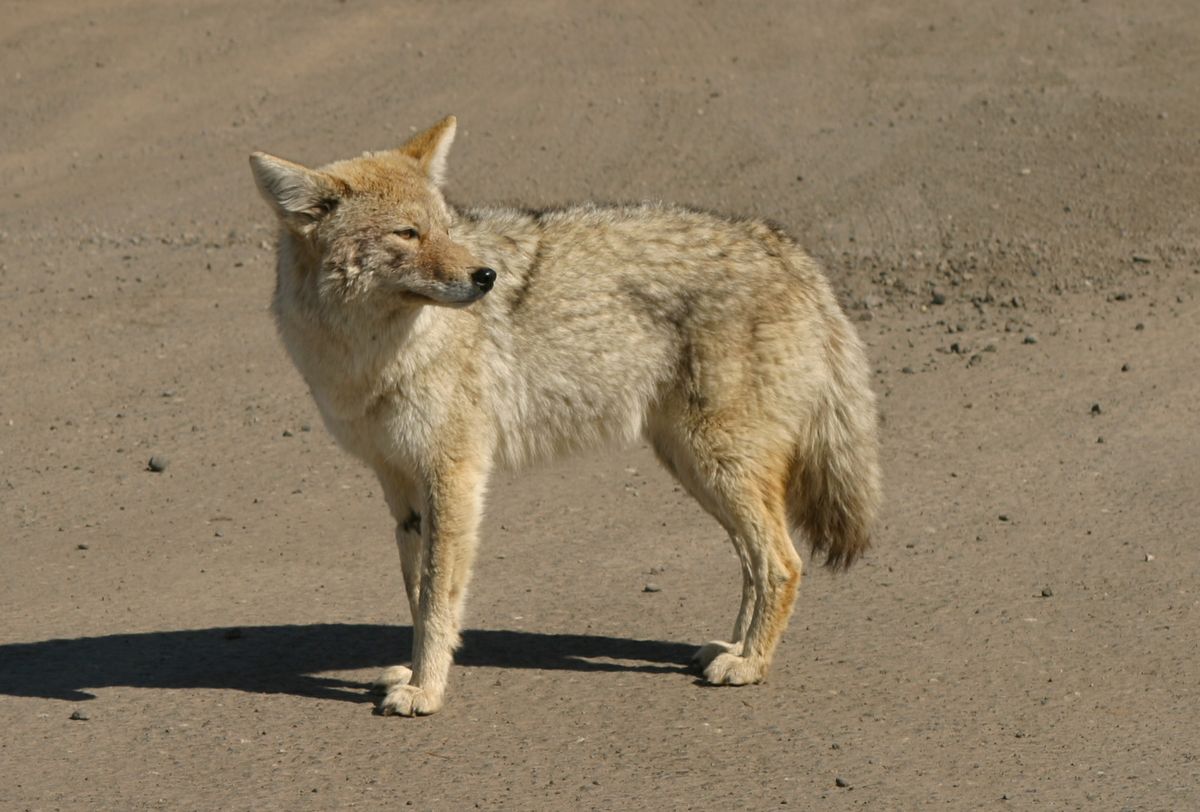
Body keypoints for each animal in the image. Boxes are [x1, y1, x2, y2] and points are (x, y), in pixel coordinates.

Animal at [249, 116, 881, 716]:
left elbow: (436, 600)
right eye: (408, 233)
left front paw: (426, 690)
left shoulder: (454, 476)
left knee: (783, 563)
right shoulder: (400, 483)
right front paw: (413, 673)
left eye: (447, 228)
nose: (486, 277)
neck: (368, 357)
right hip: (696, 469)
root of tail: (786, 246)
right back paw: (733, 649)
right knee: (756, 563)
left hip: (716, 465)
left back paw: (750, 664)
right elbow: (416, 595)